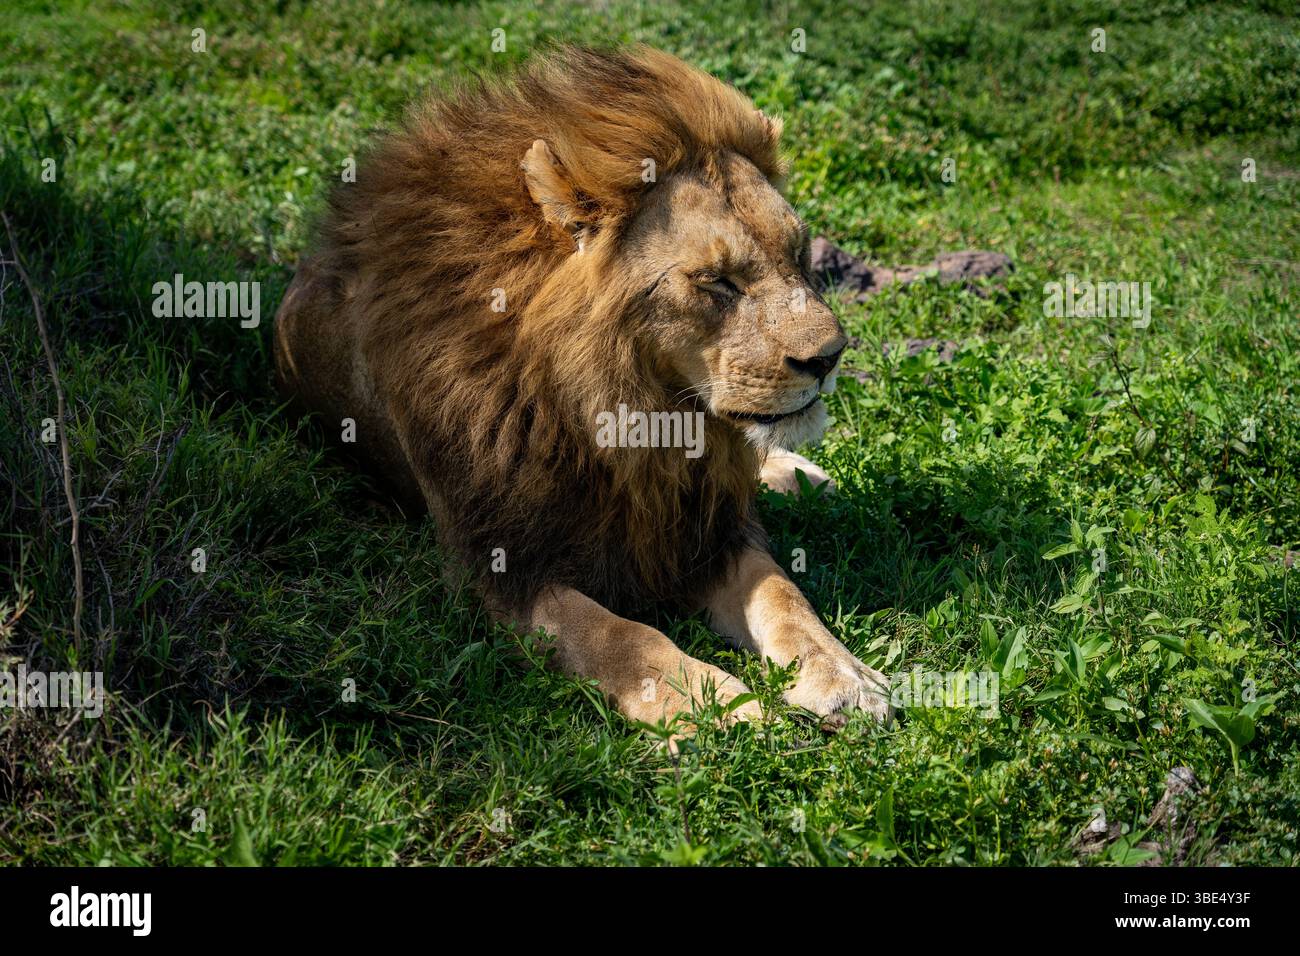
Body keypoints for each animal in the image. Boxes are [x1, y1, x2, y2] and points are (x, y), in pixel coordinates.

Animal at [274, 46, 891, 730]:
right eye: (716, 281)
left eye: (801, 254)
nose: (830, 357)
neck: (630, 419)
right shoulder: (502, 565)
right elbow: (620, 634)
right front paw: (715, 707)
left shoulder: (706, 527)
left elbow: (784, 594)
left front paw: (842, 674)